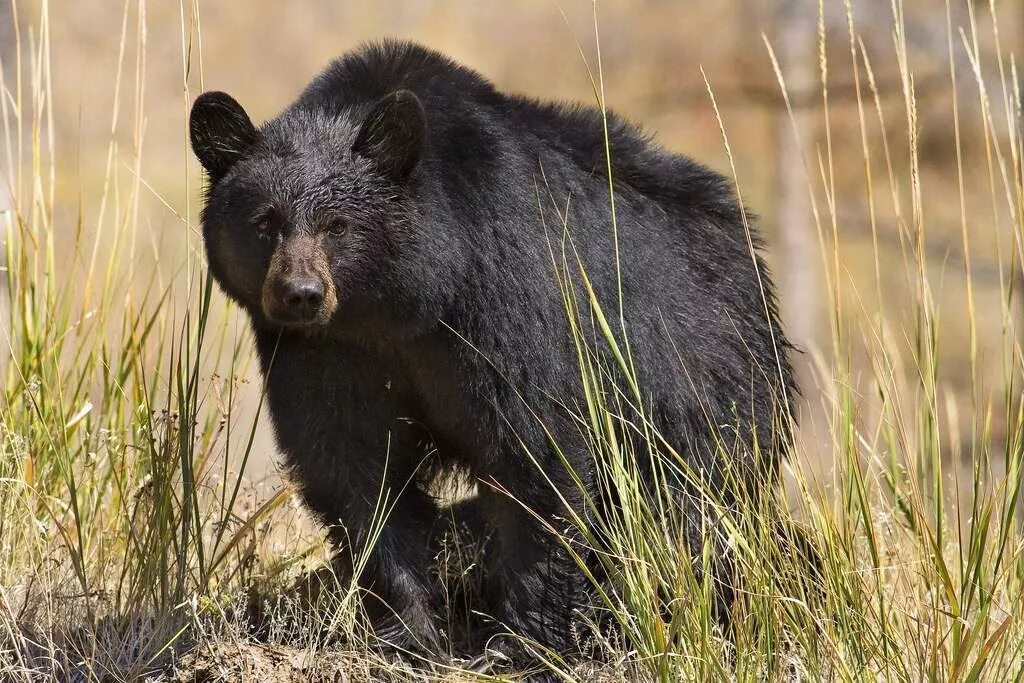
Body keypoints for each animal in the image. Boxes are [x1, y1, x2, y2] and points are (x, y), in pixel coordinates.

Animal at [188, 40, 794, 675]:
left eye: (338, 225)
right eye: (265, 222)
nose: (300, 294)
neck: (406, 300)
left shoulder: (509, 302)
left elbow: (539, 452)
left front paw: (520, 643)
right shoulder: (324, 351)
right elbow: (355, 466)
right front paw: (408, 633)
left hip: (703, 384)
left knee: (685, 514)